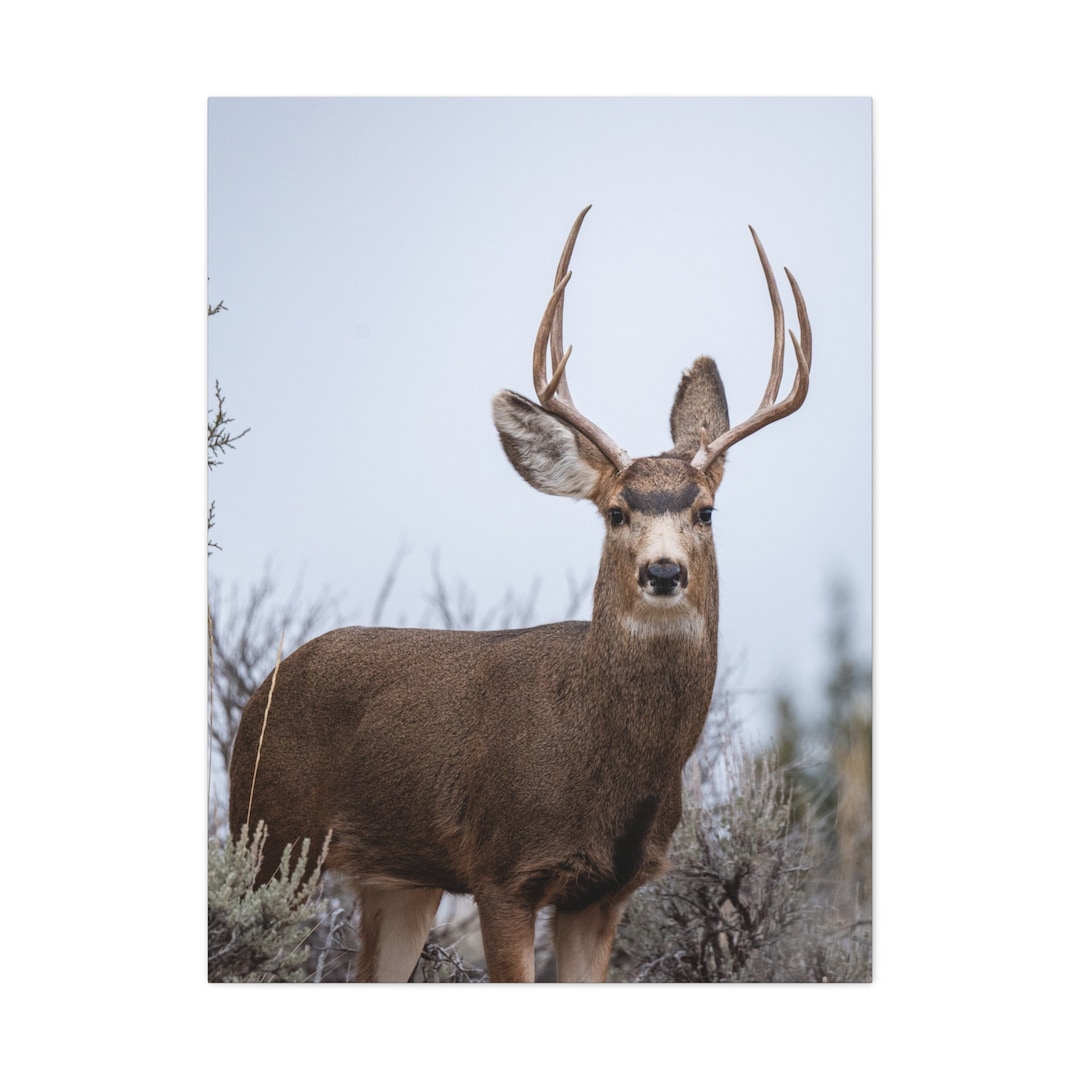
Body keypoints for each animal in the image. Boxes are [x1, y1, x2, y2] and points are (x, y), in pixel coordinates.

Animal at [228, 206, 811, 982]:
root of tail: (259, 690)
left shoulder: (606, 892)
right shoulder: (503, 868)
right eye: (616, 511)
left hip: (398, 879)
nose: (662, 572)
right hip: (267, 834)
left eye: (706, 511)